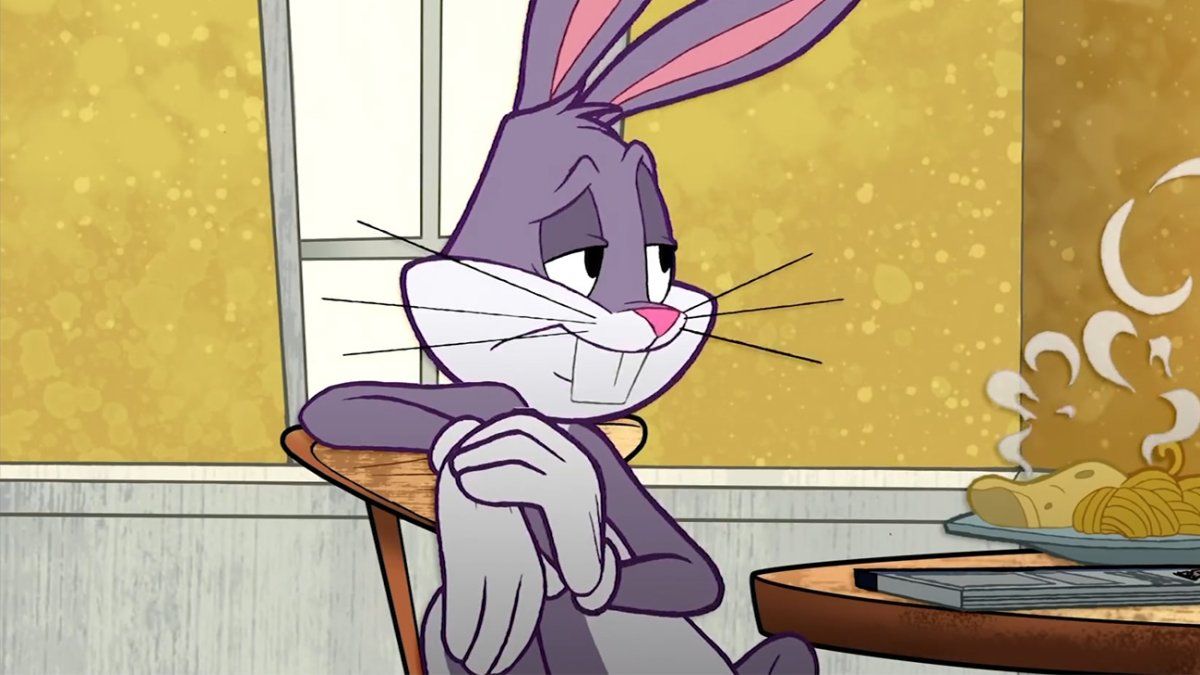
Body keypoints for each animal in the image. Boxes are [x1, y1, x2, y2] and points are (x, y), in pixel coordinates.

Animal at [299, 0, 860, 672]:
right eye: (582, 259)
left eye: (662, 260)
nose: (657, 318)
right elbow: (337, 405)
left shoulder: (604, 454)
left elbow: (690, 571)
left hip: (778, 654)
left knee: (785, 646)